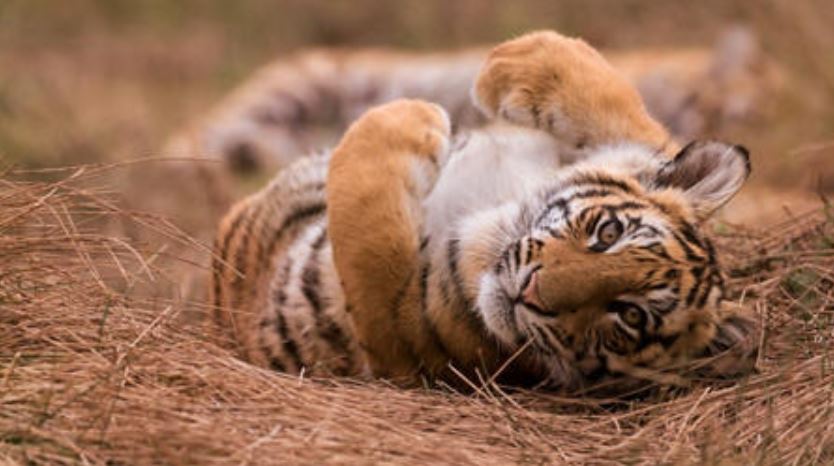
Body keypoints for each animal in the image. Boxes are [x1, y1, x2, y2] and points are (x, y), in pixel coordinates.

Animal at [211, 30, 759, 391]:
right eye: (608, 232)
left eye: (629, 316)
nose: (532, 291)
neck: (500, 211)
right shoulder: (633, 143)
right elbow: (619, 100)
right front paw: (511, 61)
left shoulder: (400, 343)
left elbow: (374, 243)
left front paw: (413, 119)